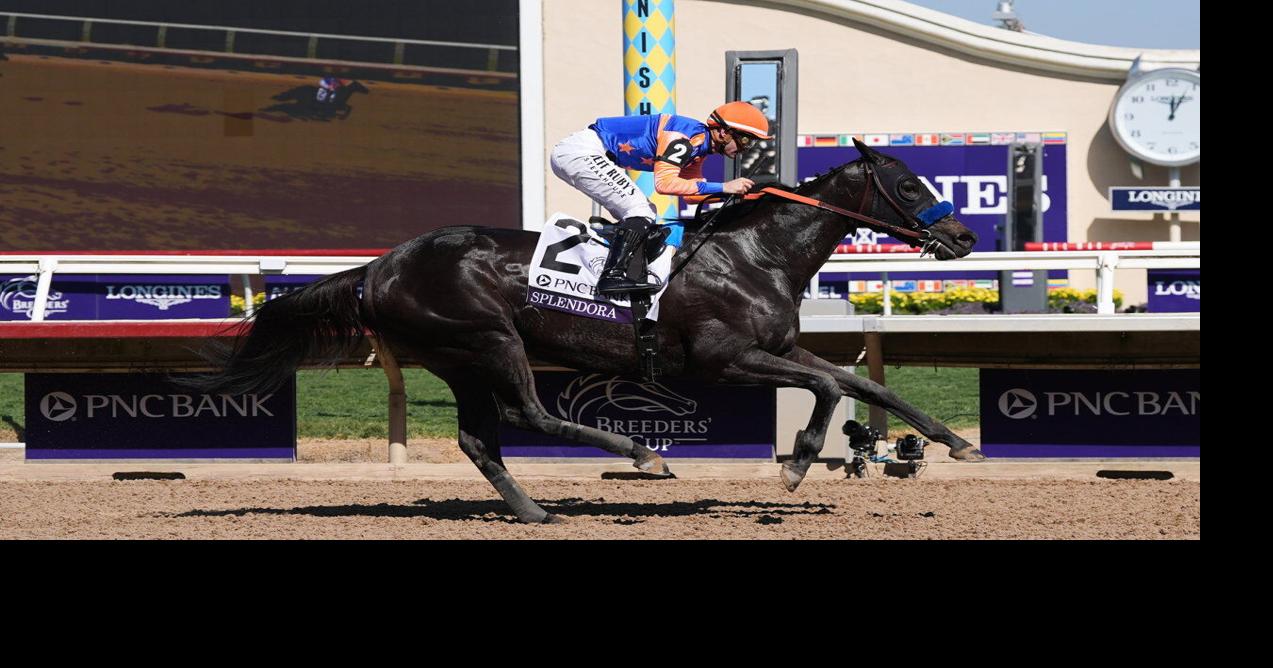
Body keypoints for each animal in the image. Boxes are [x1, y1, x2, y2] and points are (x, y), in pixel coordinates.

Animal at [193, 138, 983, 524]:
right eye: (907, 186)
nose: (964, 237)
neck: (753, 251)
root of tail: (379, 267)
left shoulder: (778, 346)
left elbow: (859, 383)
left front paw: (952, 441)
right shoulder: (724, 358)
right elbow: (826, 389)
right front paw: (797, 464)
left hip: (458, 358)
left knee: (480, 438)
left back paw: (535, 512)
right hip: (486, 340)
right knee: (526, 413)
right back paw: (641, 455)